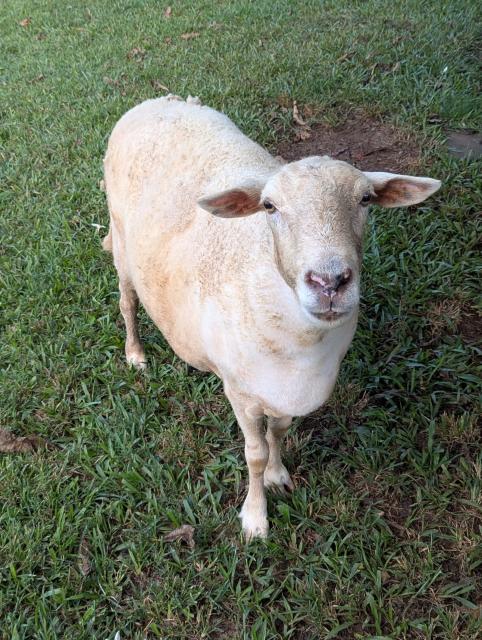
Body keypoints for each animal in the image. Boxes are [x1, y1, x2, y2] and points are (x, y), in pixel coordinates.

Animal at [103, 95, 441, 539]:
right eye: (269, 206)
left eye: (366, 199)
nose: (329, 281)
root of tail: (158, 101)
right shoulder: (241, 393)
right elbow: (255, 453)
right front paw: (255, 517)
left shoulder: (285, 393)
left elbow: (279, 433)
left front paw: (279, 476)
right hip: (122, 244)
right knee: (127, 304)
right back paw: (135, 354)